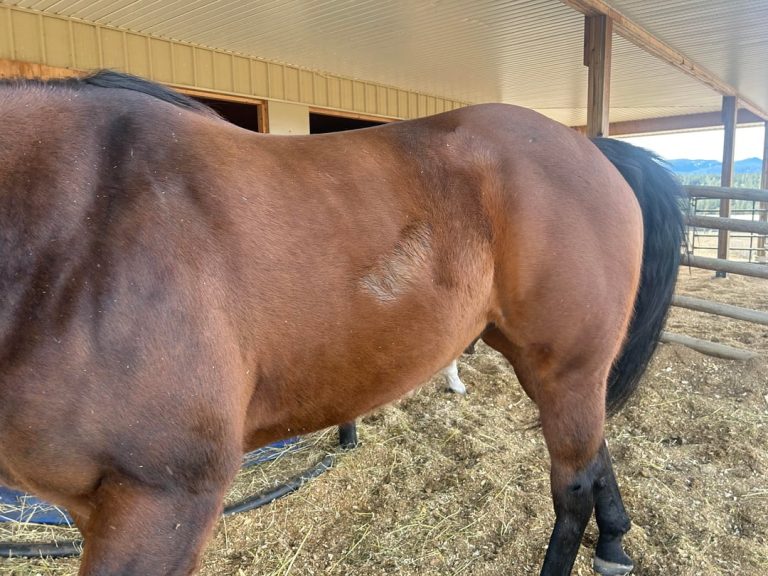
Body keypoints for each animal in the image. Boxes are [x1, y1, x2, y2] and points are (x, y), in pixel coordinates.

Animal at [0, 71, 684, 576]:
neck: (80, 226)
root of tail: (590, 148)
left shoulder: (158, 503)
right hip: (551, 364)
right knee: (594, 454)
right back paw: (615, 543)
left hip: (566, 363)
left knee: (572, 491)